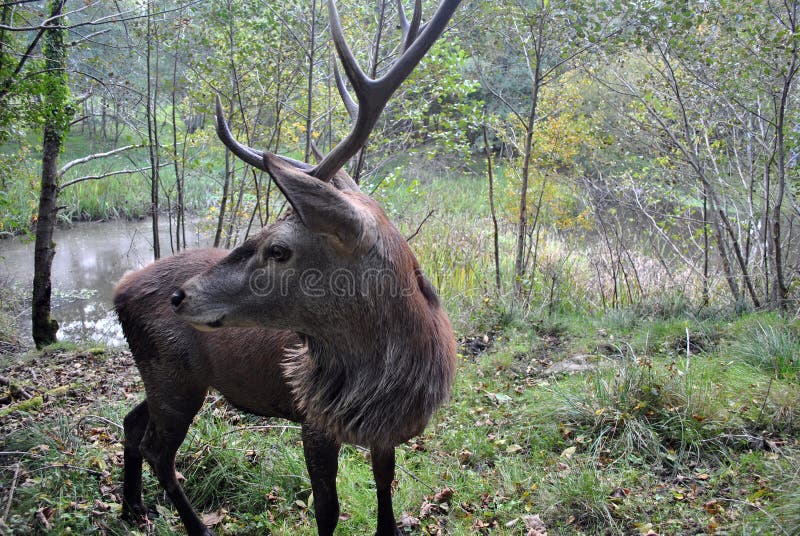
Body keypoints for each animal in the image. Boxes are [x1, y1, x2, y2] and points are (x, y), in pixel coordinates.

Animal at [113, 1, 461, 535]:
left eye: (278, 249)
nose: (180, 296)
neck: (392, 385)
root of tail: (118, 290)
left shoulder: (386, 431)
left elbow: (385, 484)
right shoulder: (313, 417)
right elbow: (327, 509)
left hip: (166, 376)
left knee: (133, 425)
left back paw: (132, 506)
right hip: (172, 373)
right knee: (158, 449)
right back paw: (193, 524)